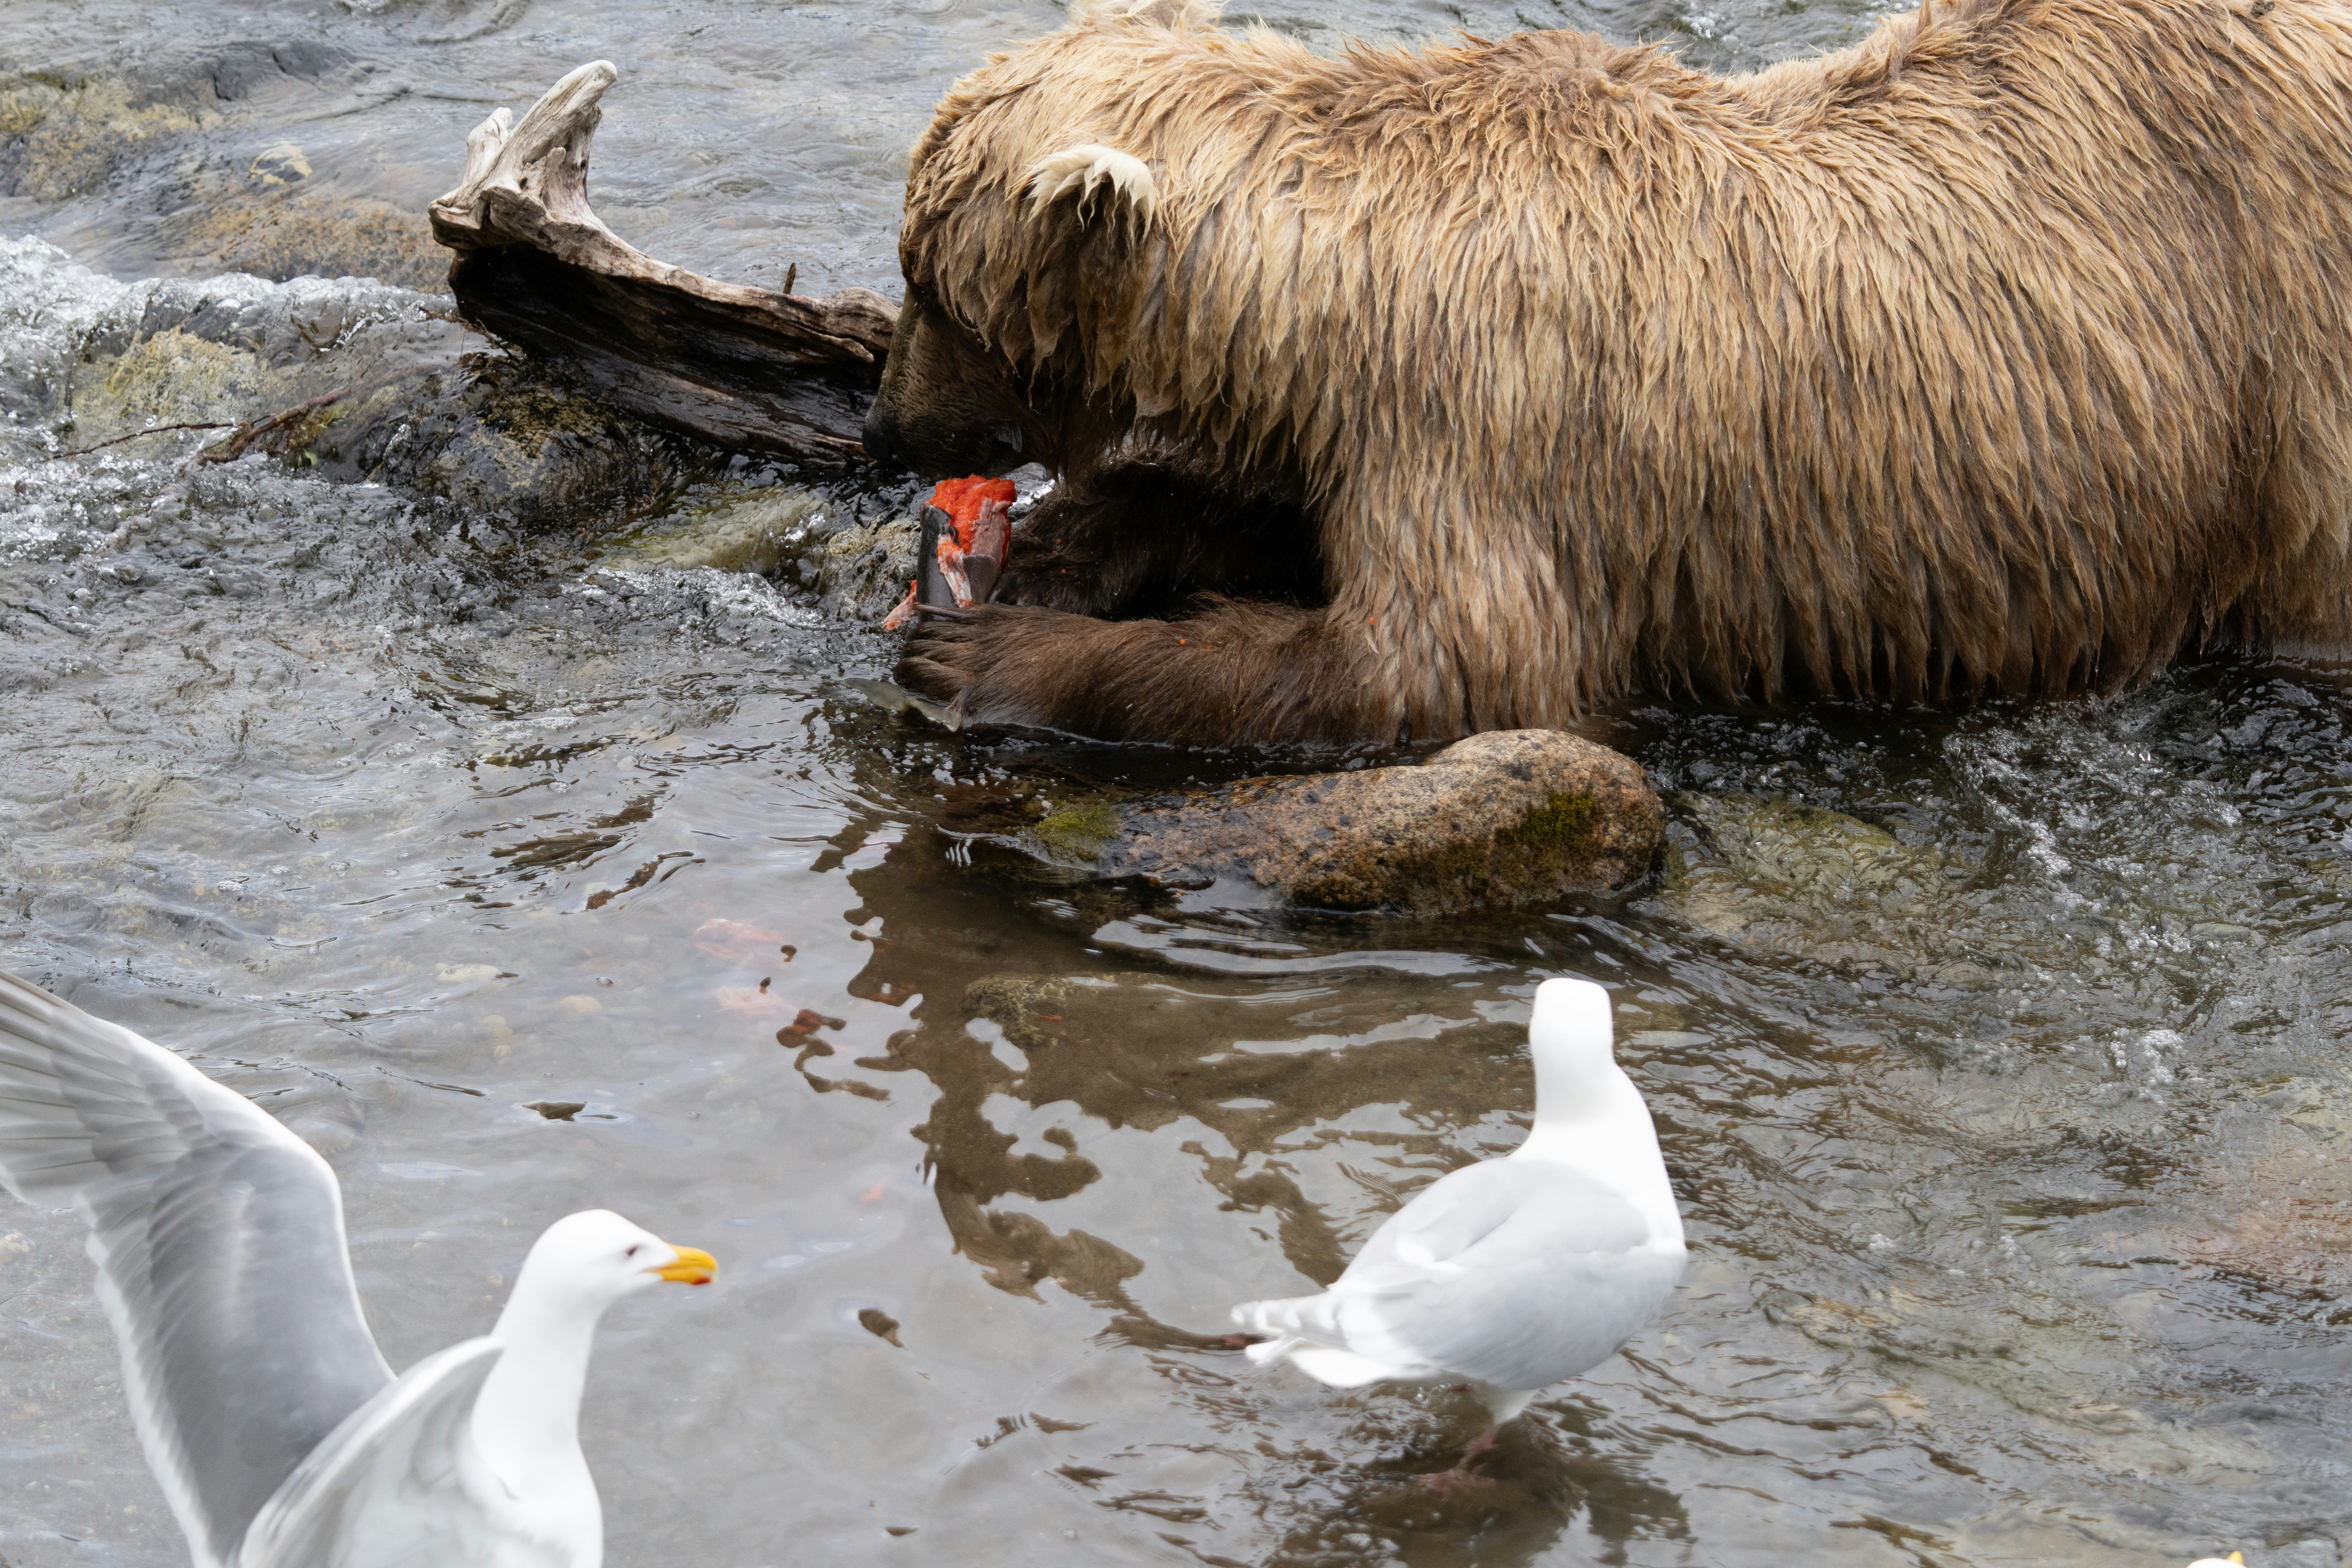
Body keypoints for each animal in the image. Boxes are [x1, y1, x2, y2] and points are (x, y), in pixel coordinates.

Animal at [865, 0, 2352, 747]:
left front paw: (993, 646)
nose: (890, 426)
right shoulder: (1373, 418)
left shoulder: (1493, 417)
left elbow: (1432, 664)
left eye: (931, 284)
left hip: (2290, 381)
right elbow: (1266, 514)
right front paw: (1056, 547)